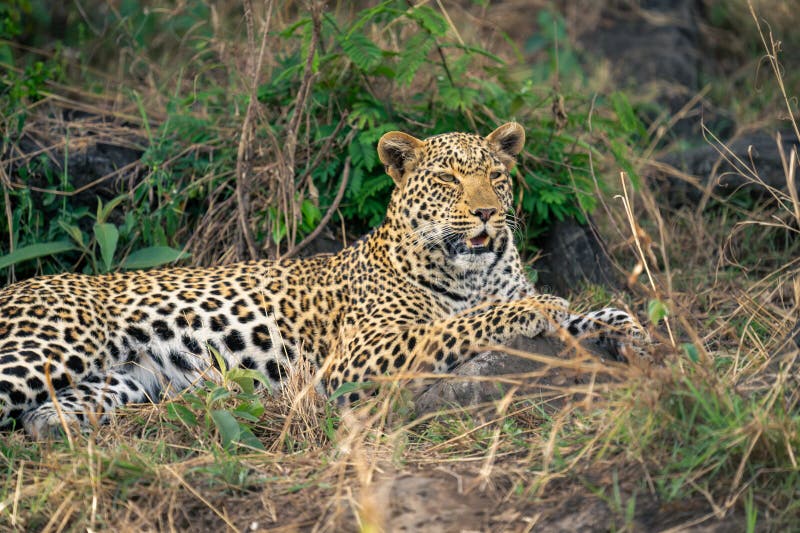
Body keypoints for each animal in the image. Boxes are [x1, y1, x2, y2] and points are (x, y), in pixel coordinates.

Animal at [0, 122, 649, 439]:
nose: (489, 213)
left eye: (496, 176)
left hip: (124, 379)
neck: (479, 271)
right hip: (50, 346)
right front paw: (530, 311)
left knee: (40, 417)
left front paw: (639, 342)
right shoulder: (358, 354)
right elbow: (457, 325)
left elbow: (601, 312)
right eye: (447, 179)